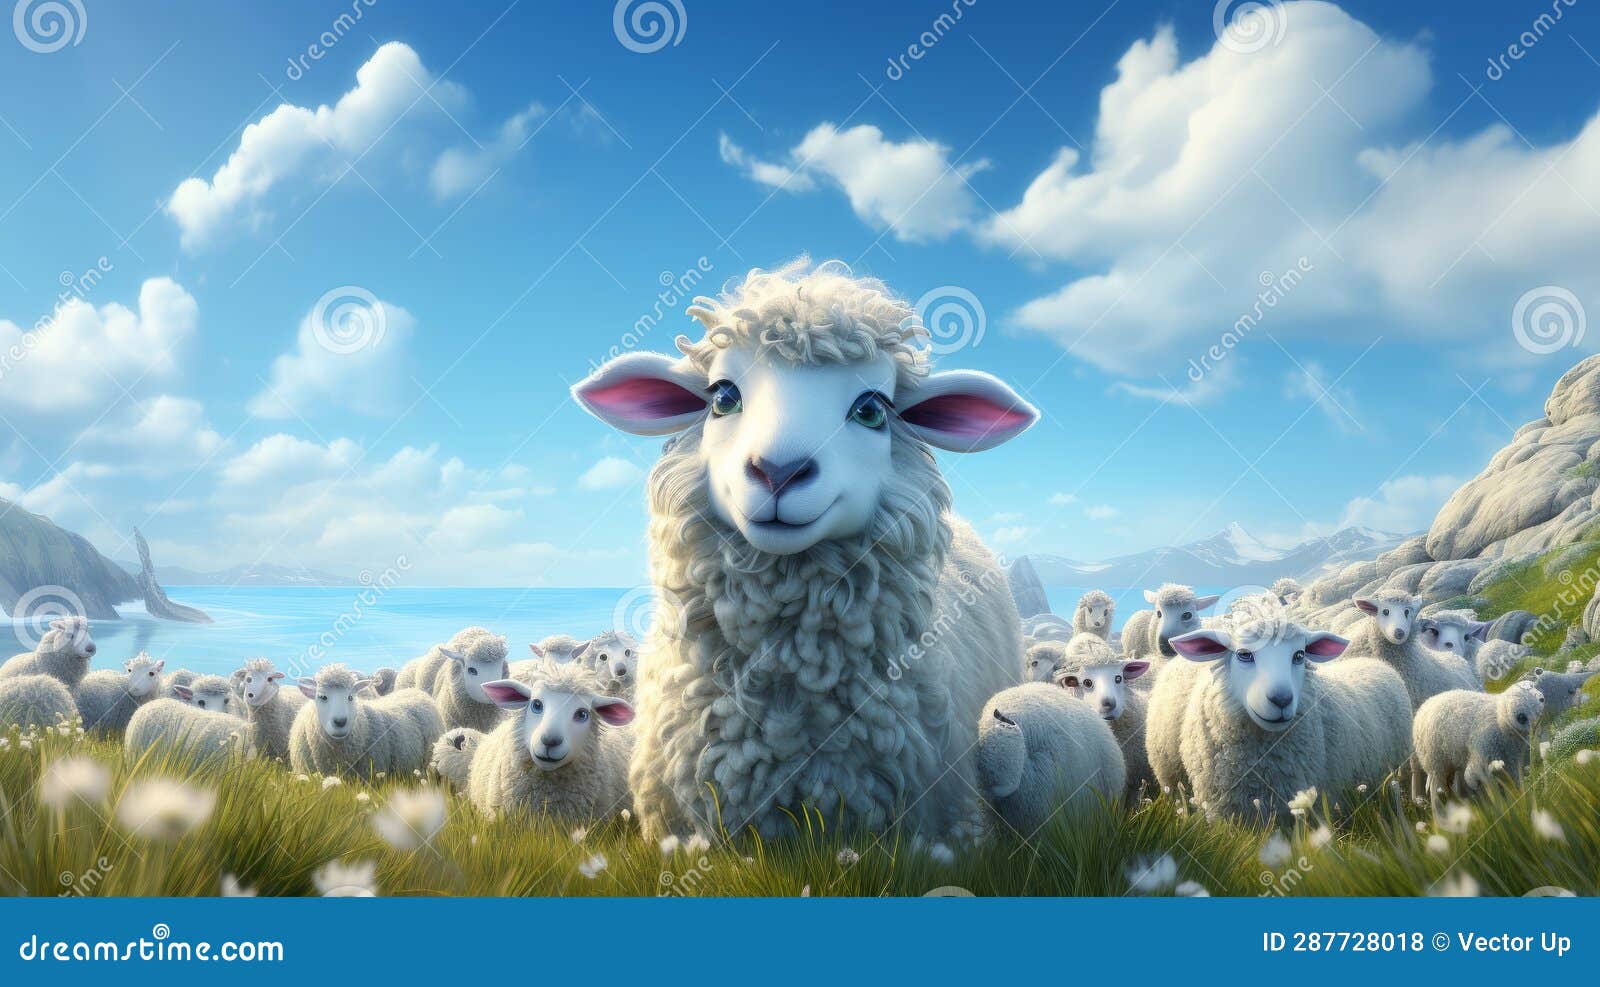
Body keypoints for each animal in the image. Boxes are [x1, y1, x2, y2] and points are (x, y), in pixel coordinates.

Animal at [1413, 684, 1545, 797]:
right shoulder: (1485, 743)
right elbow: (1474, 773)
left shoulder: (1511, 752)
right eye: (1522, 717)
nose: (1542, 698)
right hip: (1434, 758)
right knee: (1440, 782)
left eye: (1540, 700)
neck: (1500, 718)